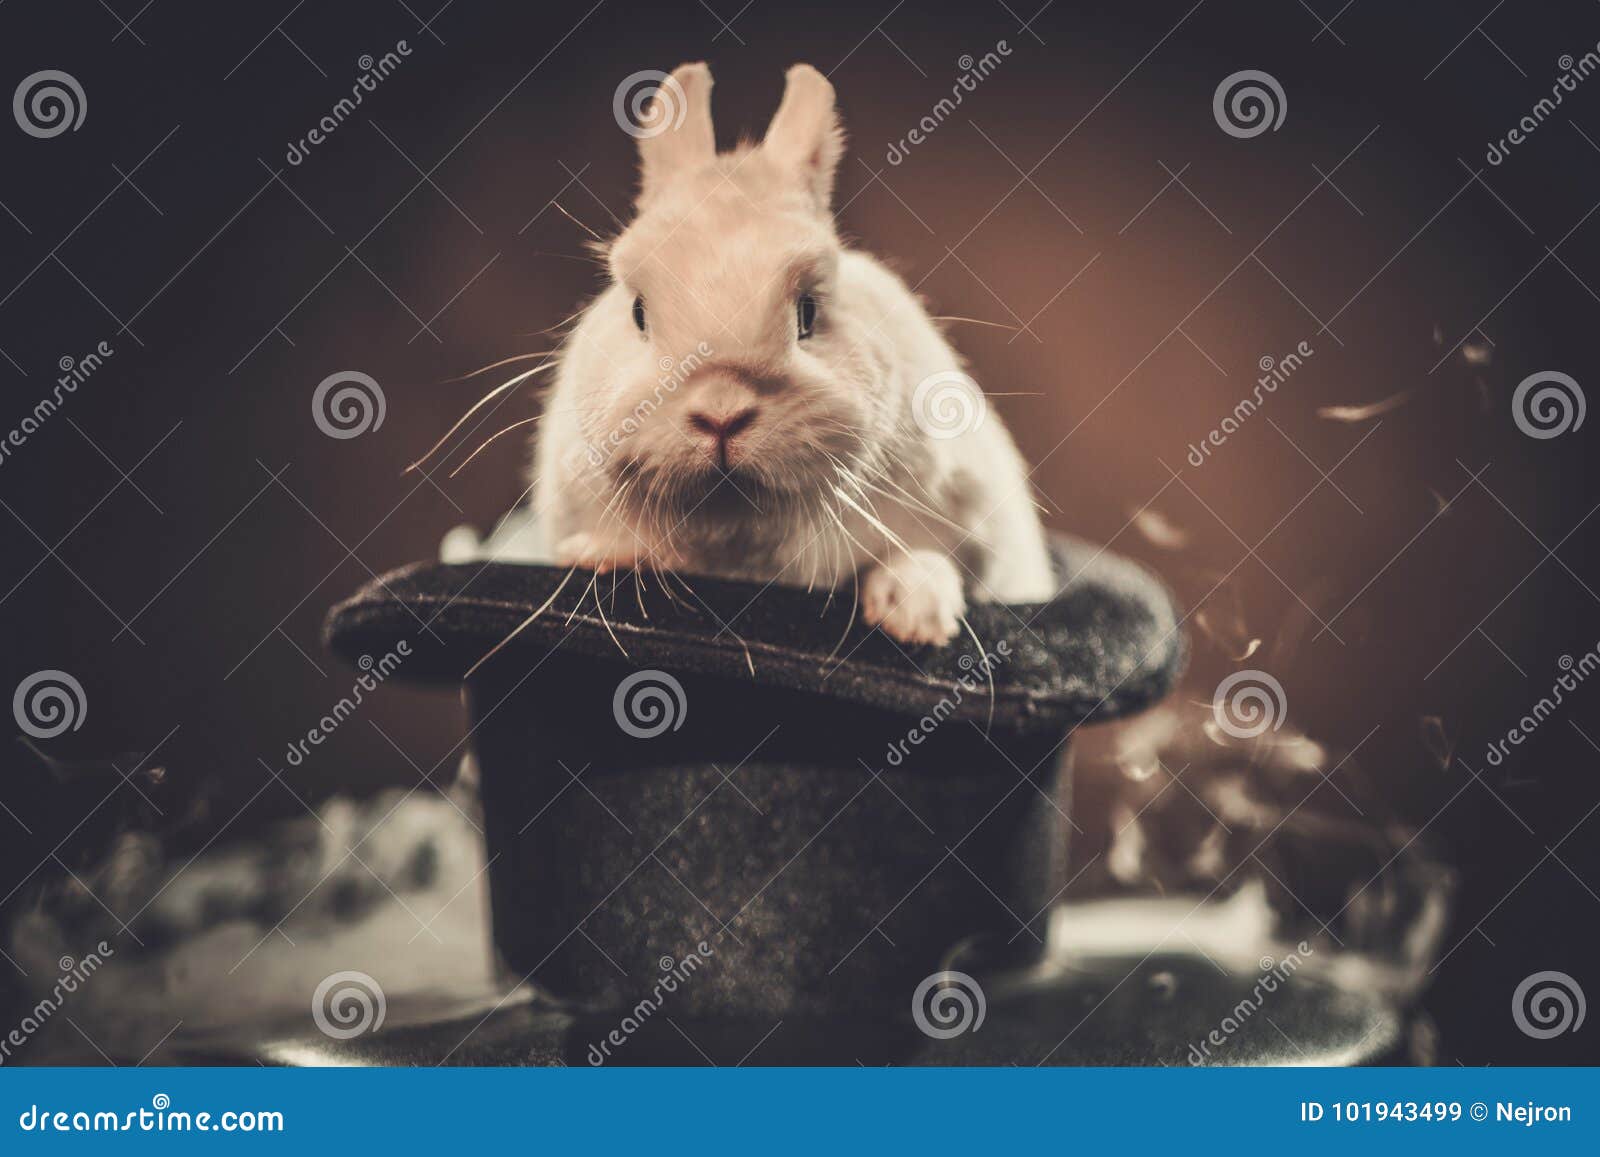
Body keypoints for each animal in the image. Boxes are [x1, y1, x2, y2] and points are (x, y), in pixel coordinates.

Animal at [533, 61, 1055, 645]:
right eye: (639, 312)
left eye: (808, 312)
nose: (721, 414)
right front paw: (601, 555)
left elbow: (923, 558)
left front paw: (916, 615)